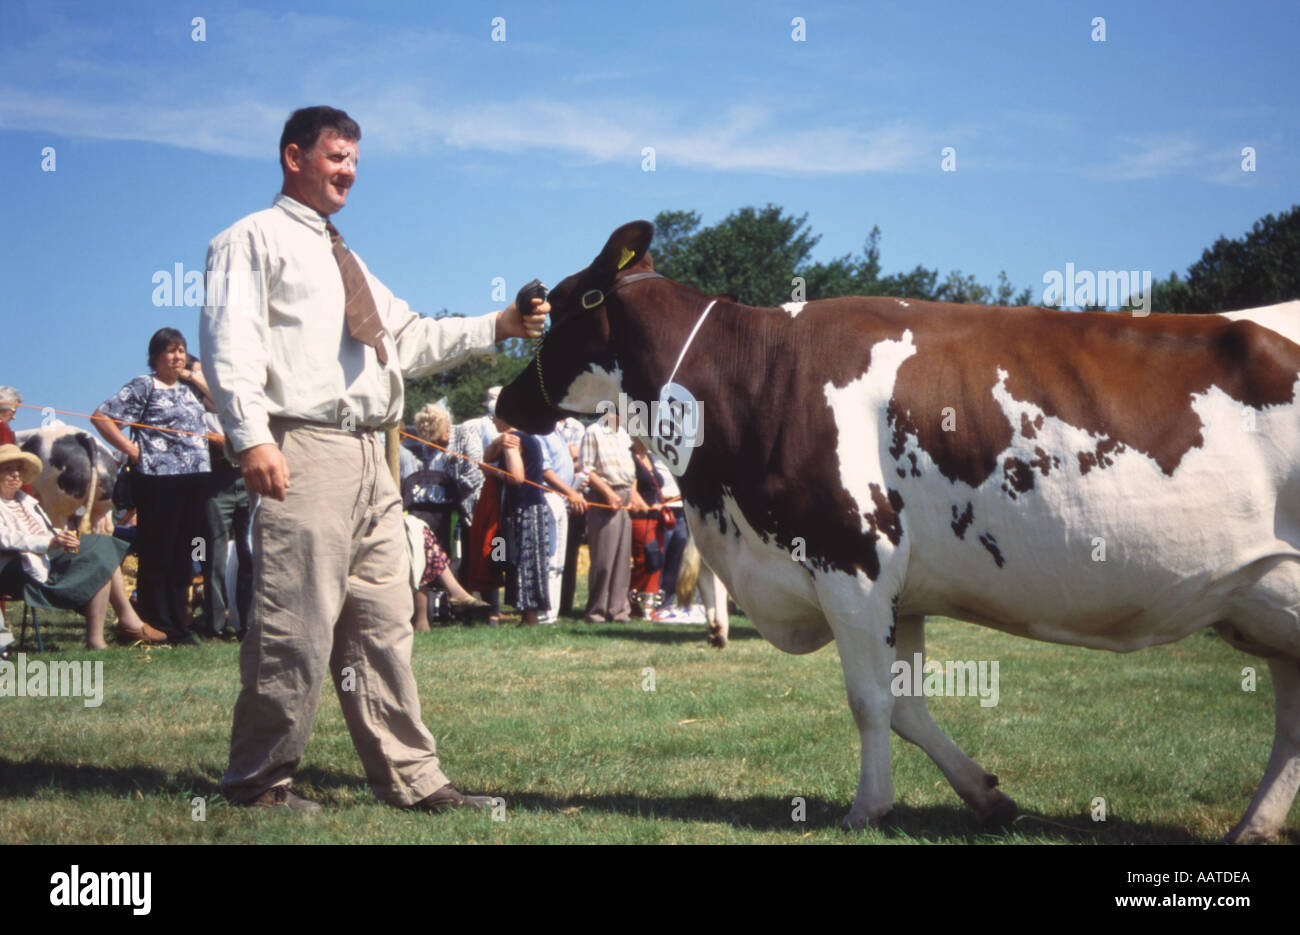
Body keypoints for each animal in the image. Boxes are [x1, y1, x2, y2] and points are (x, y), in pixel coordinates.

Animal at [497, 220, 1300, 843]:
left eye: (558, 308)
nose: (504, 401)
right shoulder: (901, 586)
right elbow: (911, 703)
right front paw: (987, 796)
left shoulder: (849, 562)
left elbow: (870, 700)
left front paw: (867, 808)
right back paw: (1252, 824)